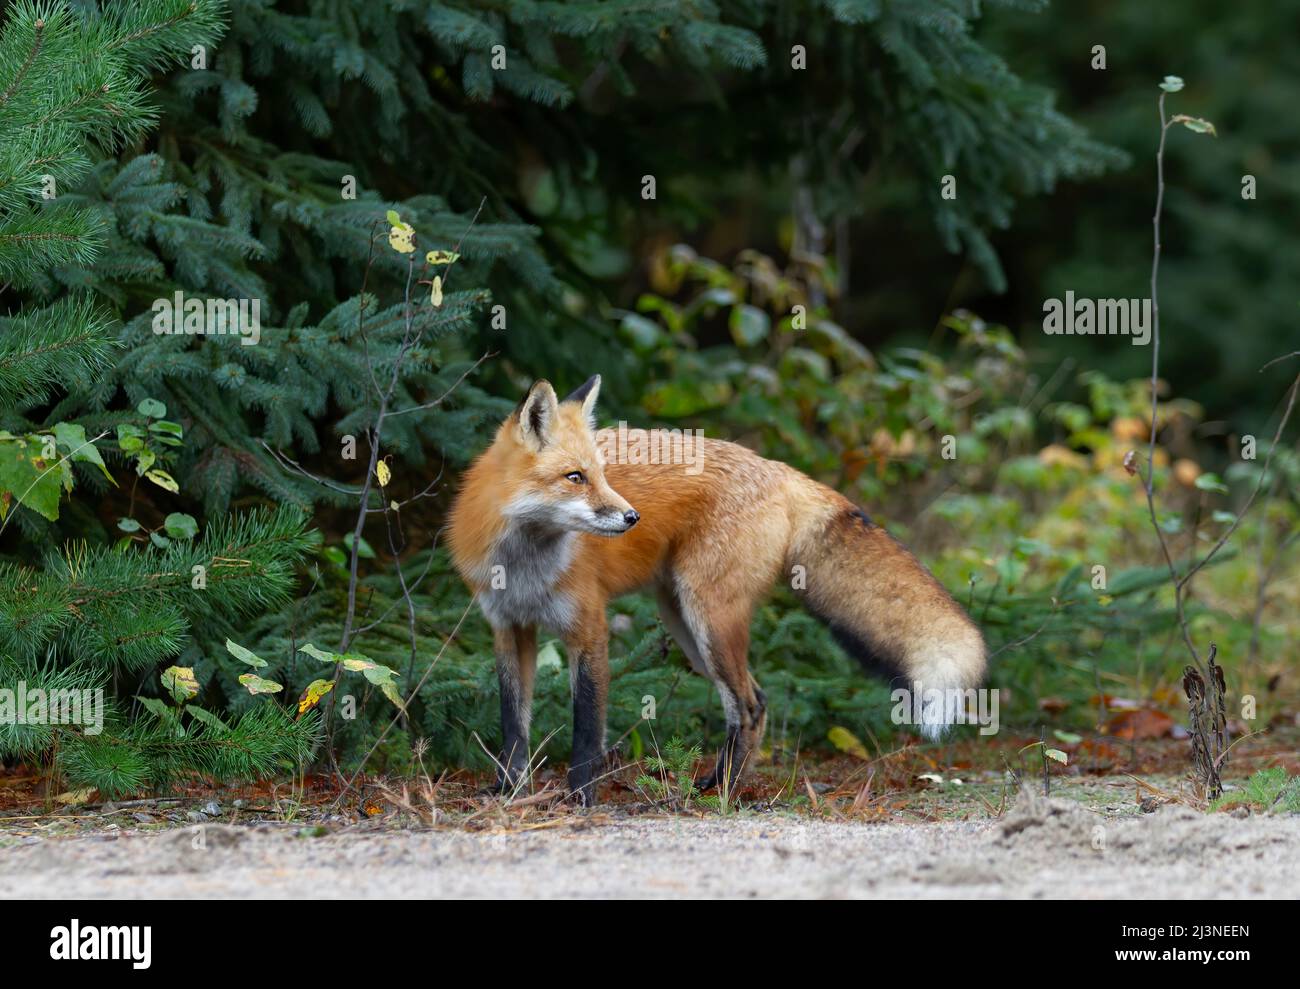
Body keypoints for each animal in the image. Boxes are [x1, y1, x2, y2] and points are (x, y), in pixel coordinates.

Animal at [448, 375, 986, 806]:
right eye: (575, 477)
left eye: (600, 474)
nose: (631, 516)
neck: (526, 567)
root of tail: (777, 468)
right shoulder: (508, 628)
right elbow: (513, 725)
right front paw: (507, 791)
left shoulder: (588, 630)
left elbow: (587, 729)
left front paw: (581, 797)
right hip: (684, 624)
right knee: (757, 699)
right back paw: (716, 784)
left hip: (707, 619)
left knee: (748, 705)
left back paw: (722, 792)